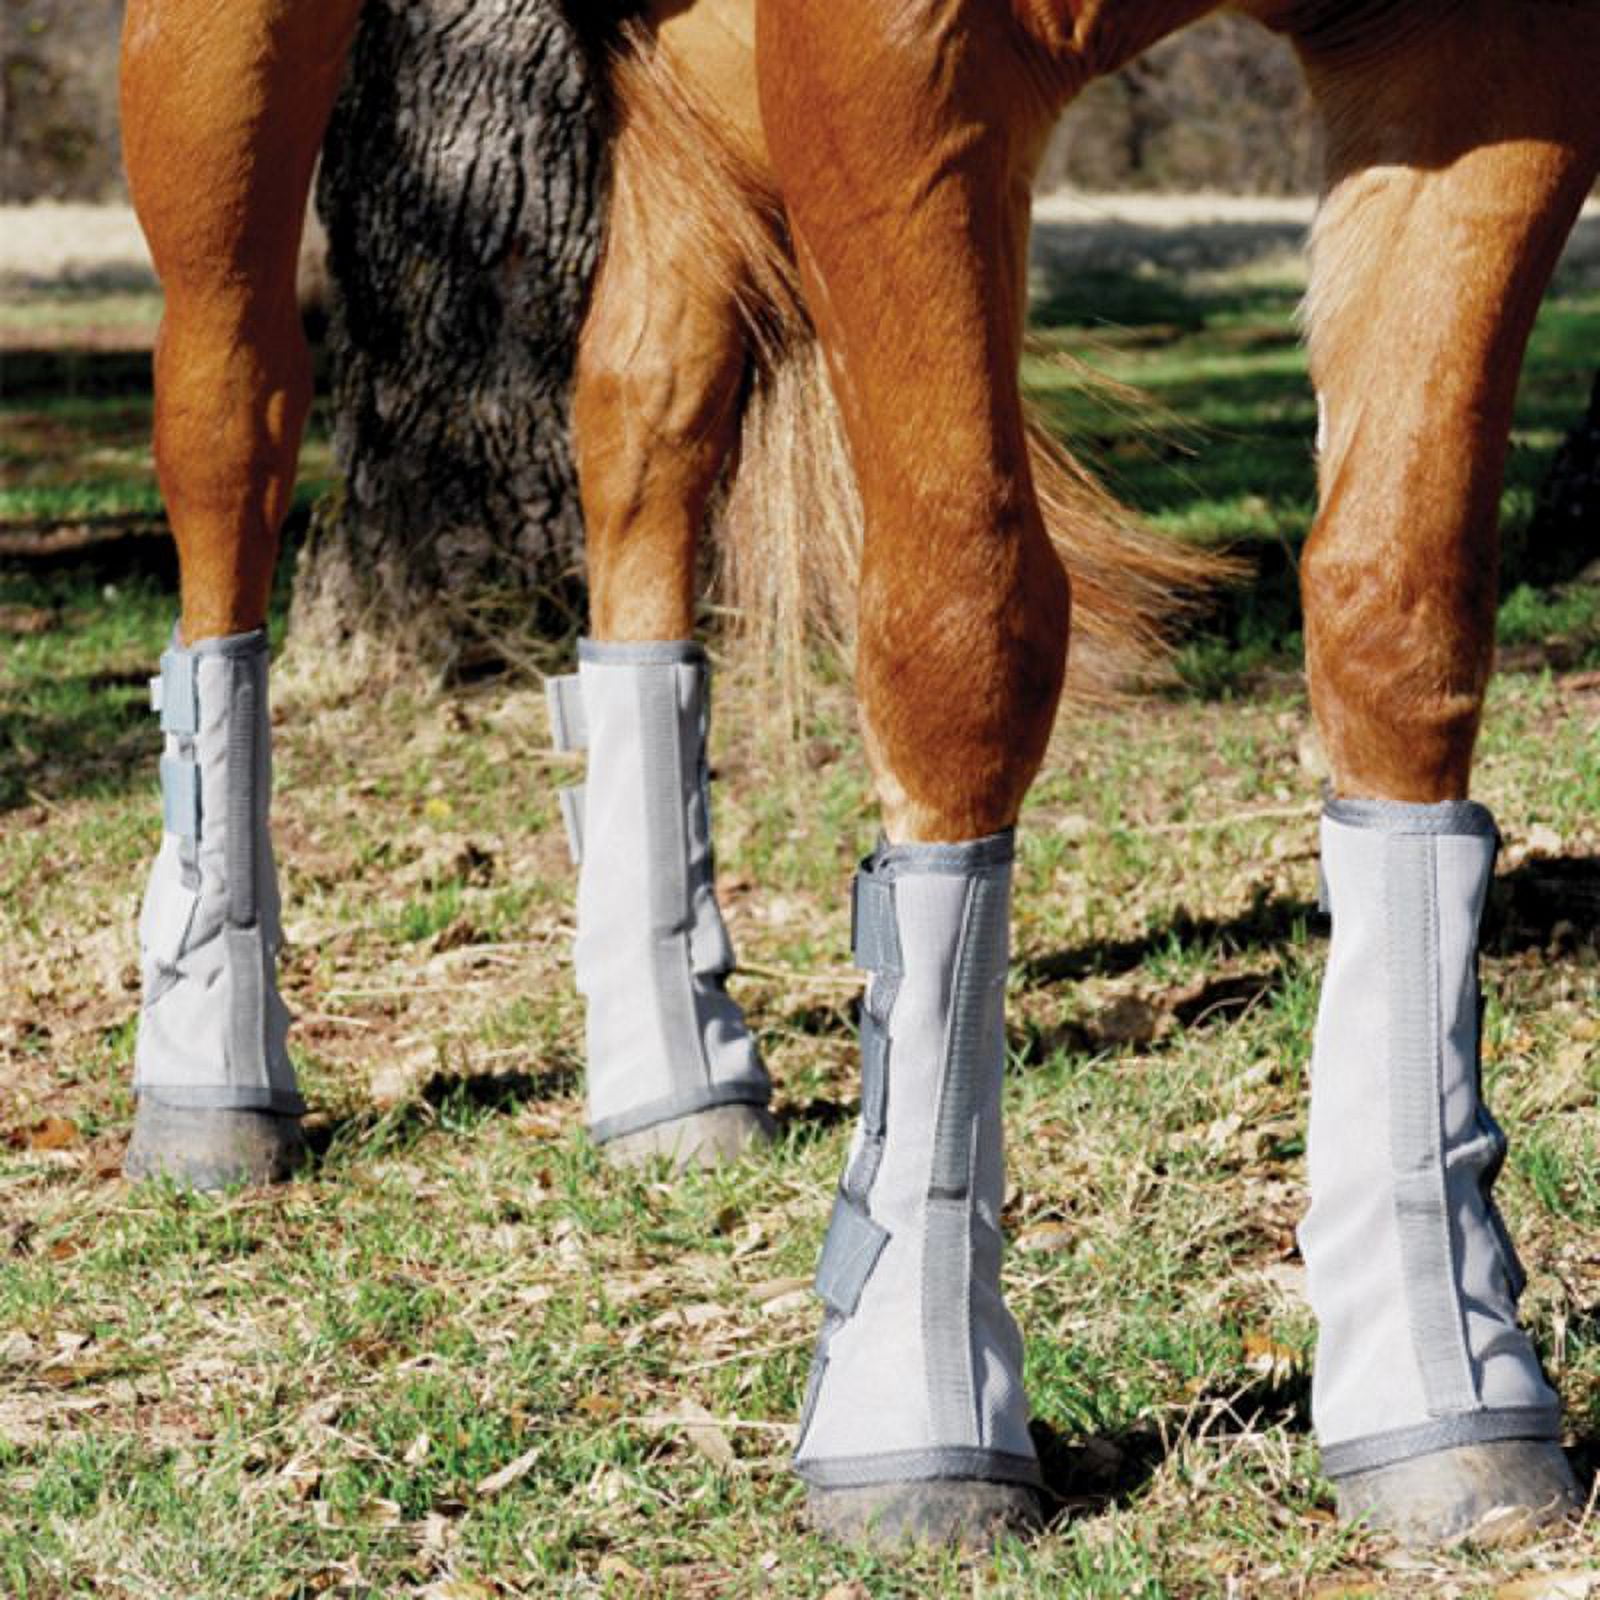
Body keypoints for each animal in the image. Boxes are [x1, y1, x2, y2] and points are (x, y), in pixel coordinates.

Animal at [117, 0, 1600, 1554]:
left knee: (639, 412)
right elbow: (966, 616)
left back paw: (671, 1069)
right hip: (236, 79)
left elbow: (1398, 602)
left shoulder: (1484, 66)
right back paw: (209, 1066)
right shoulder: (889, 60)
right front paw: (915, 1393)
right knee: (228, 413)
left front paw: (1446, 1380)